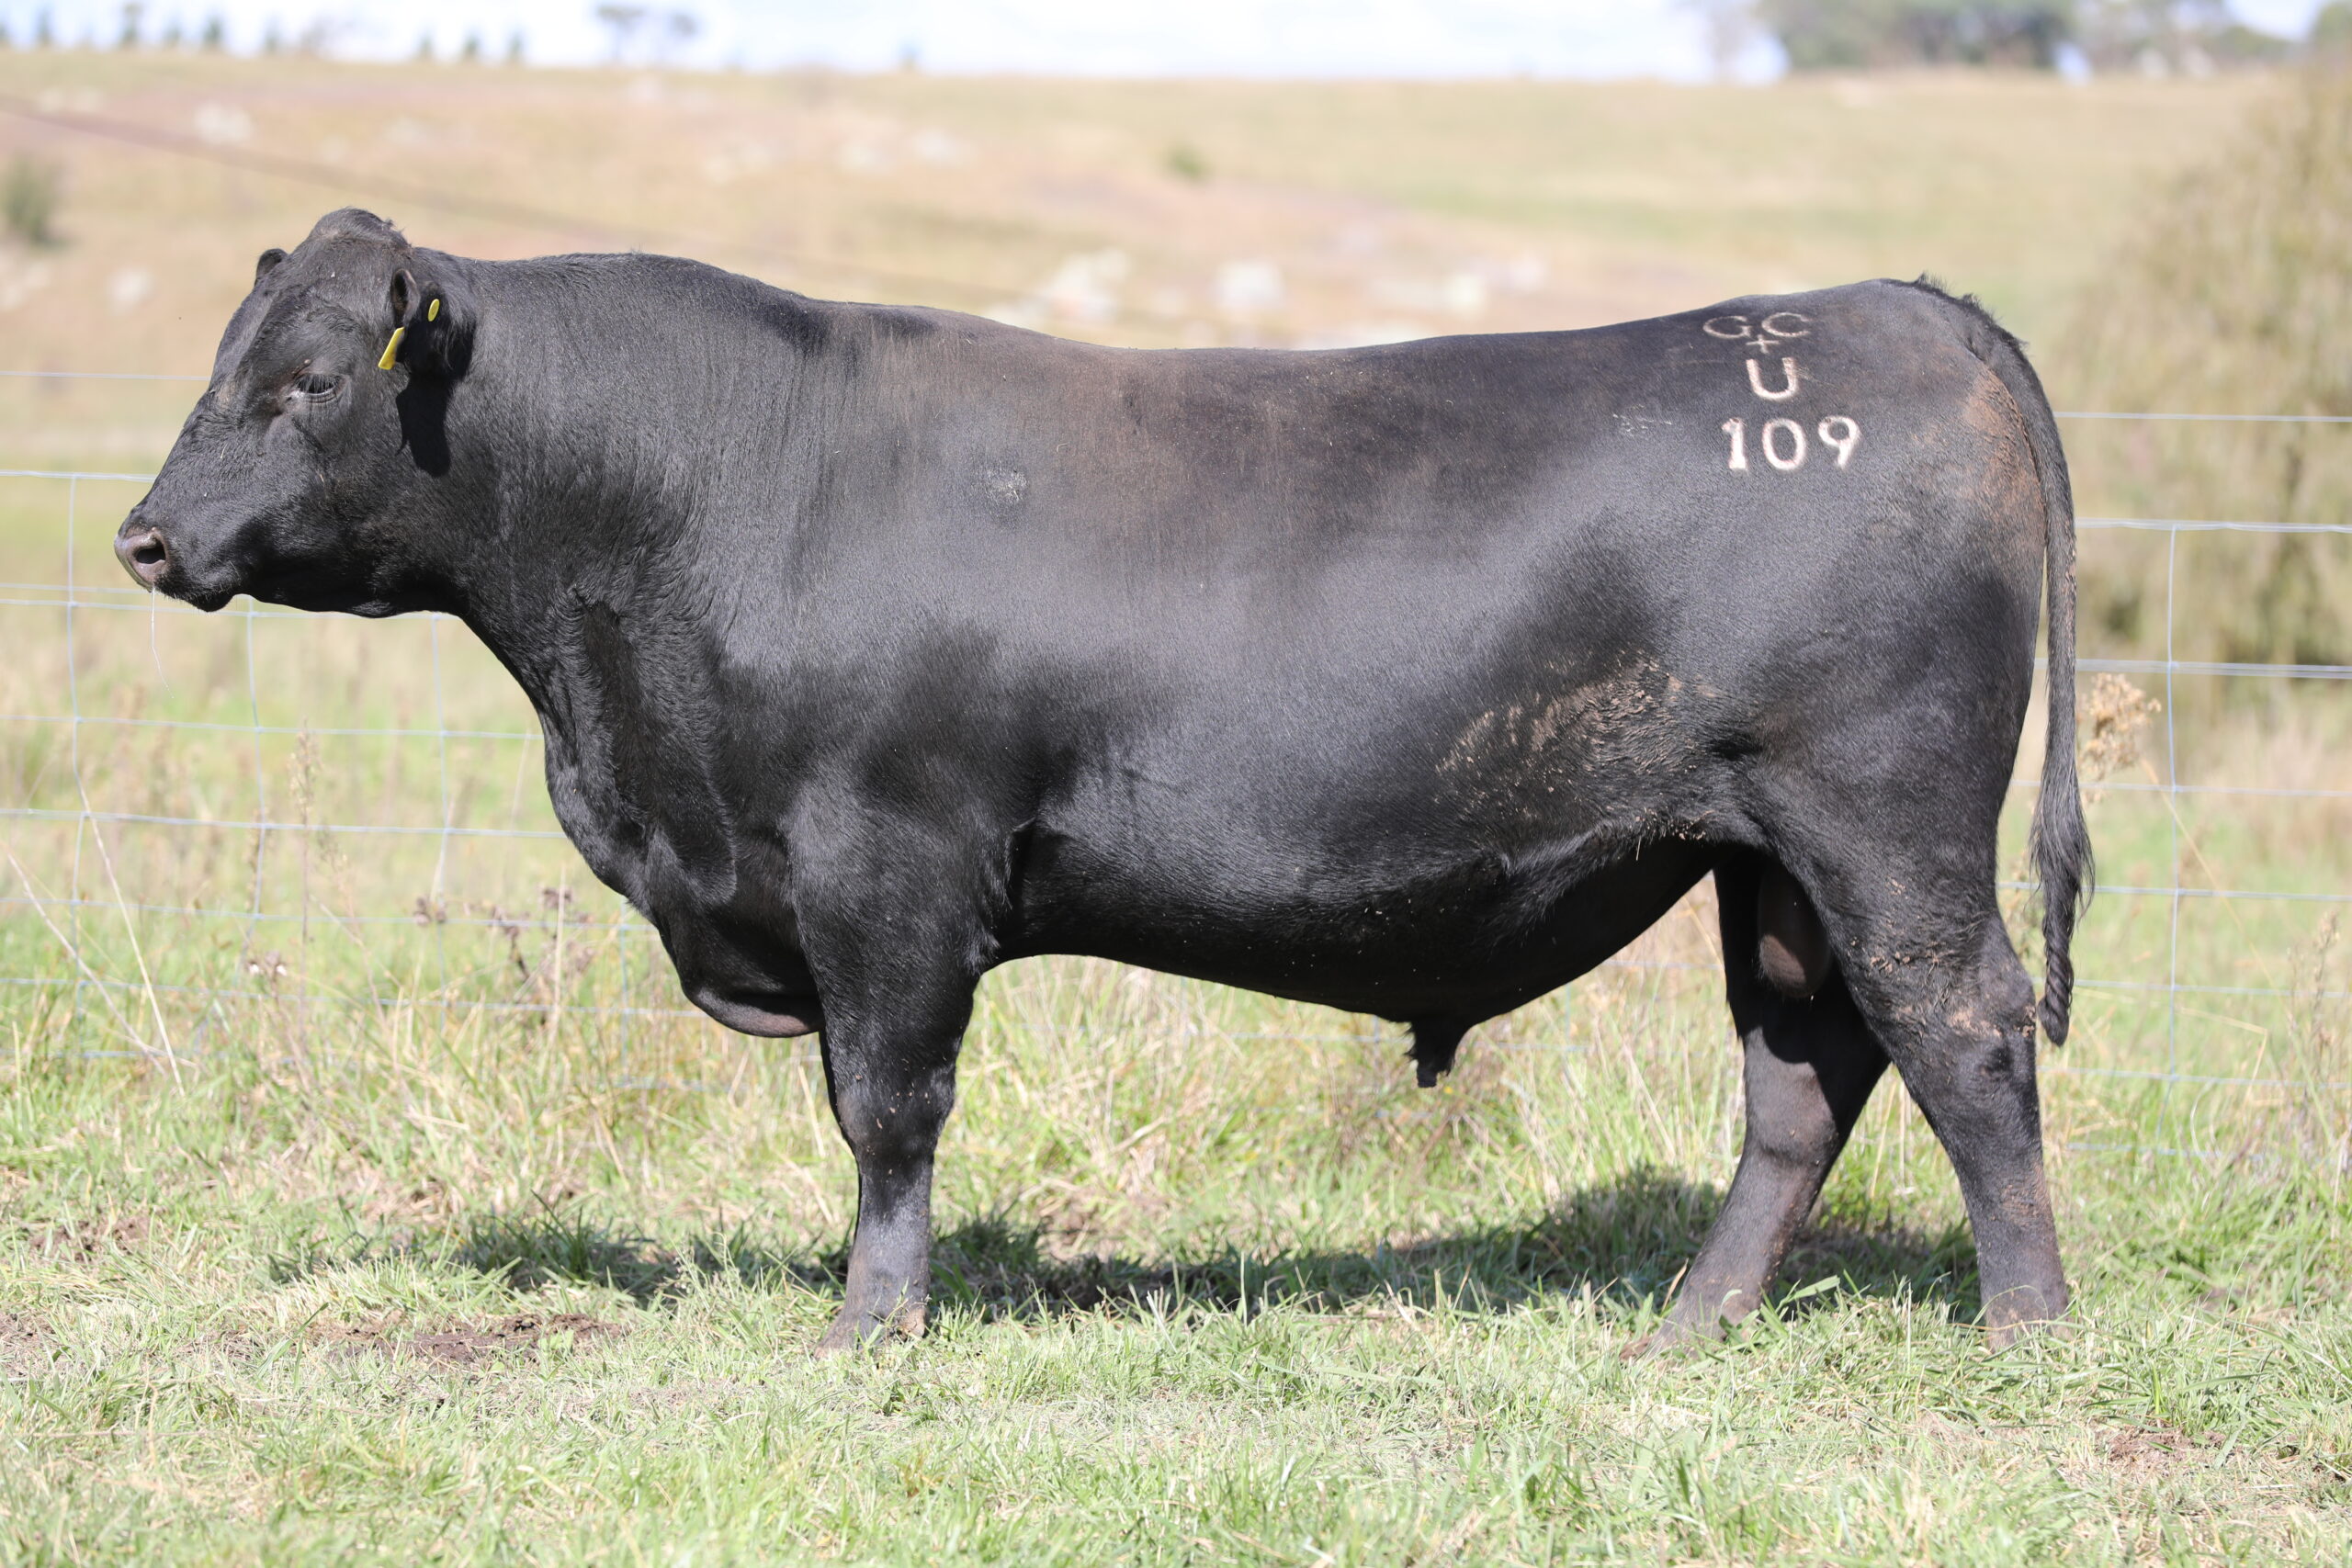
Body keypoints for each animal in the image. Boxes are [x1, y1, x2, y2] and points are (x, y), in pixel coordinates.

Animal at [118, 209, 2089, 1353]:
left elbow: (887, 1111)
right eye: (222, 365)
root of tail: (1901, 309)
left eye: (306, 382)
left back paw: (2029, 1328)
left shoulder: (886, 872)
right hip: (1767, 858)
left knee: (1964, 1032)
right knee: (1806, 1077)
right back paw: (1689, 1324)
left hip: (1885, 824)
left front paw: (872, 1328)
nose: (142, 537)